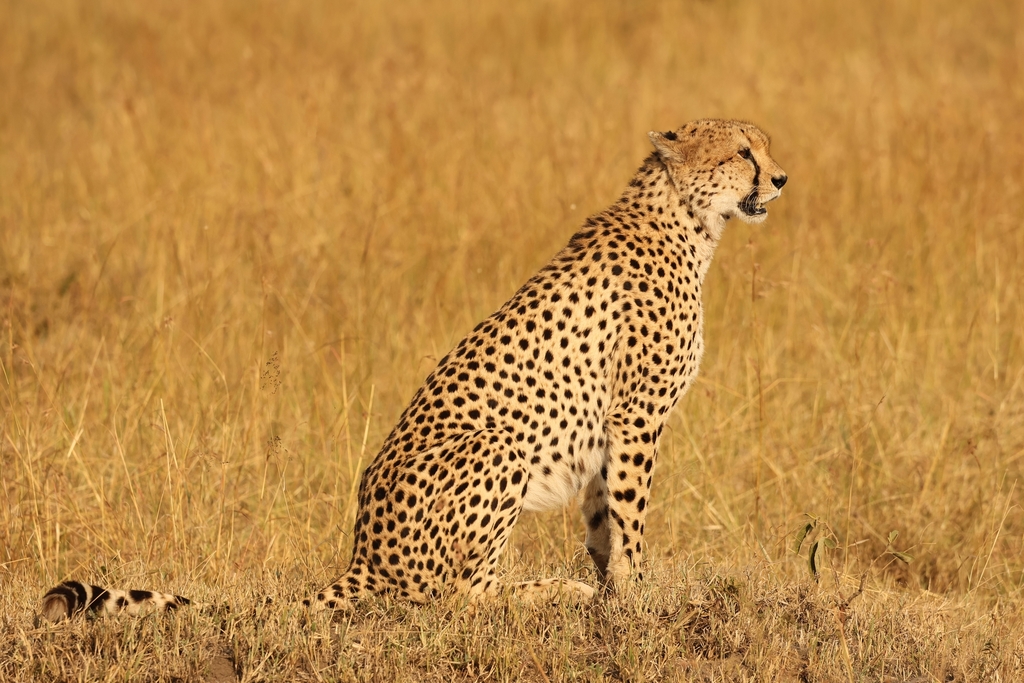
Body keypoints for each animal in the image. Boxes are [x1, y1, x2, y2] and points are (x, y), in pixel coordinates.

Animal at [40, 119, 786, 621]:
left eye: (763, 146)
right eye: (742, 152)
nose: (780, 178)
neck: (687, 221)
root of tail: (363, 554)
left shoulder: (613, 427)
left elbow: (604, 520)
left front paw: (614, 590)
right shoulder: (635, 418)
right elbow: (630, 518)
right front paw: (633, 597)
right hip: (498, 446)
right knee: (456, 595)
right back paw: (549, 591)